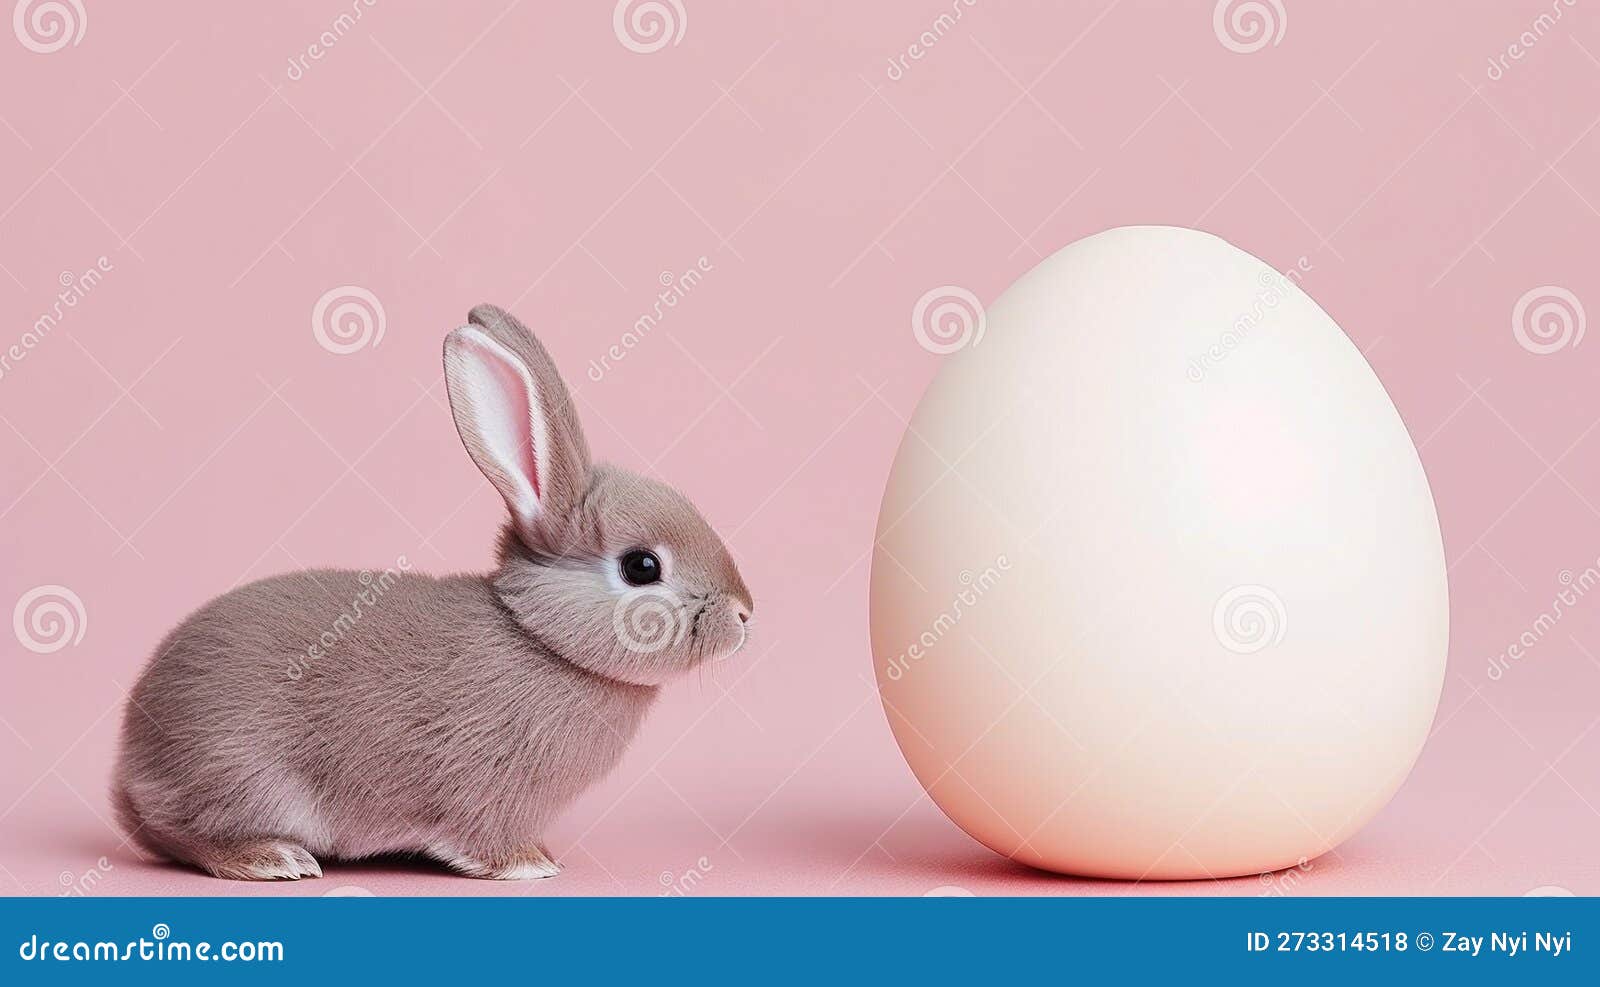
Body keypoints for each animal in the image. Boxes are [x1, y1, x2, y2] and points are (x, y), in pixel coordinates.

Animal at [111, 303, 753, 881]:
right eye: (642, 566)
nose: (745, 615)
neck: (541, 639)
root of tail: (129, 769)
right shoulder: (485, 790)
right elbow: (482, 837)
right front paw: (530, 865)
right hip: (241, 778)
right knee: (188, 834)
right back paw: (274, 858)